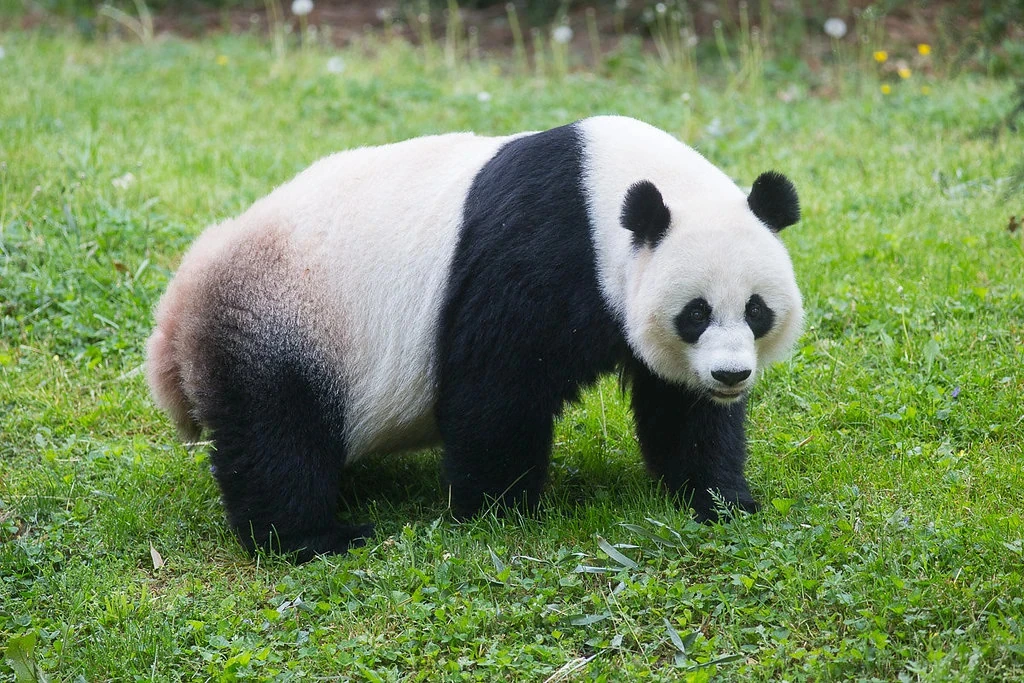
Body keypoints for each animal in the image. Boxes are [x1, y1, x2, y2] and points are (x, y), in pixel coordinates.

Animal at [146, 116, 803, 561]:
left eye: (756, 310)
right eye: (695, 313)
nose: (730, 375)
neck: (604, 187)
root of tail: (177, 313)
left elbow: (680, 409)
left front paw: (722, 500)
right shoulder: (544, 252)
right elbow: (498, 386)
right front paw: (500, 511)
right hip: (285, 321)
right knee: (277, 435)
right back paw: (318, 536)